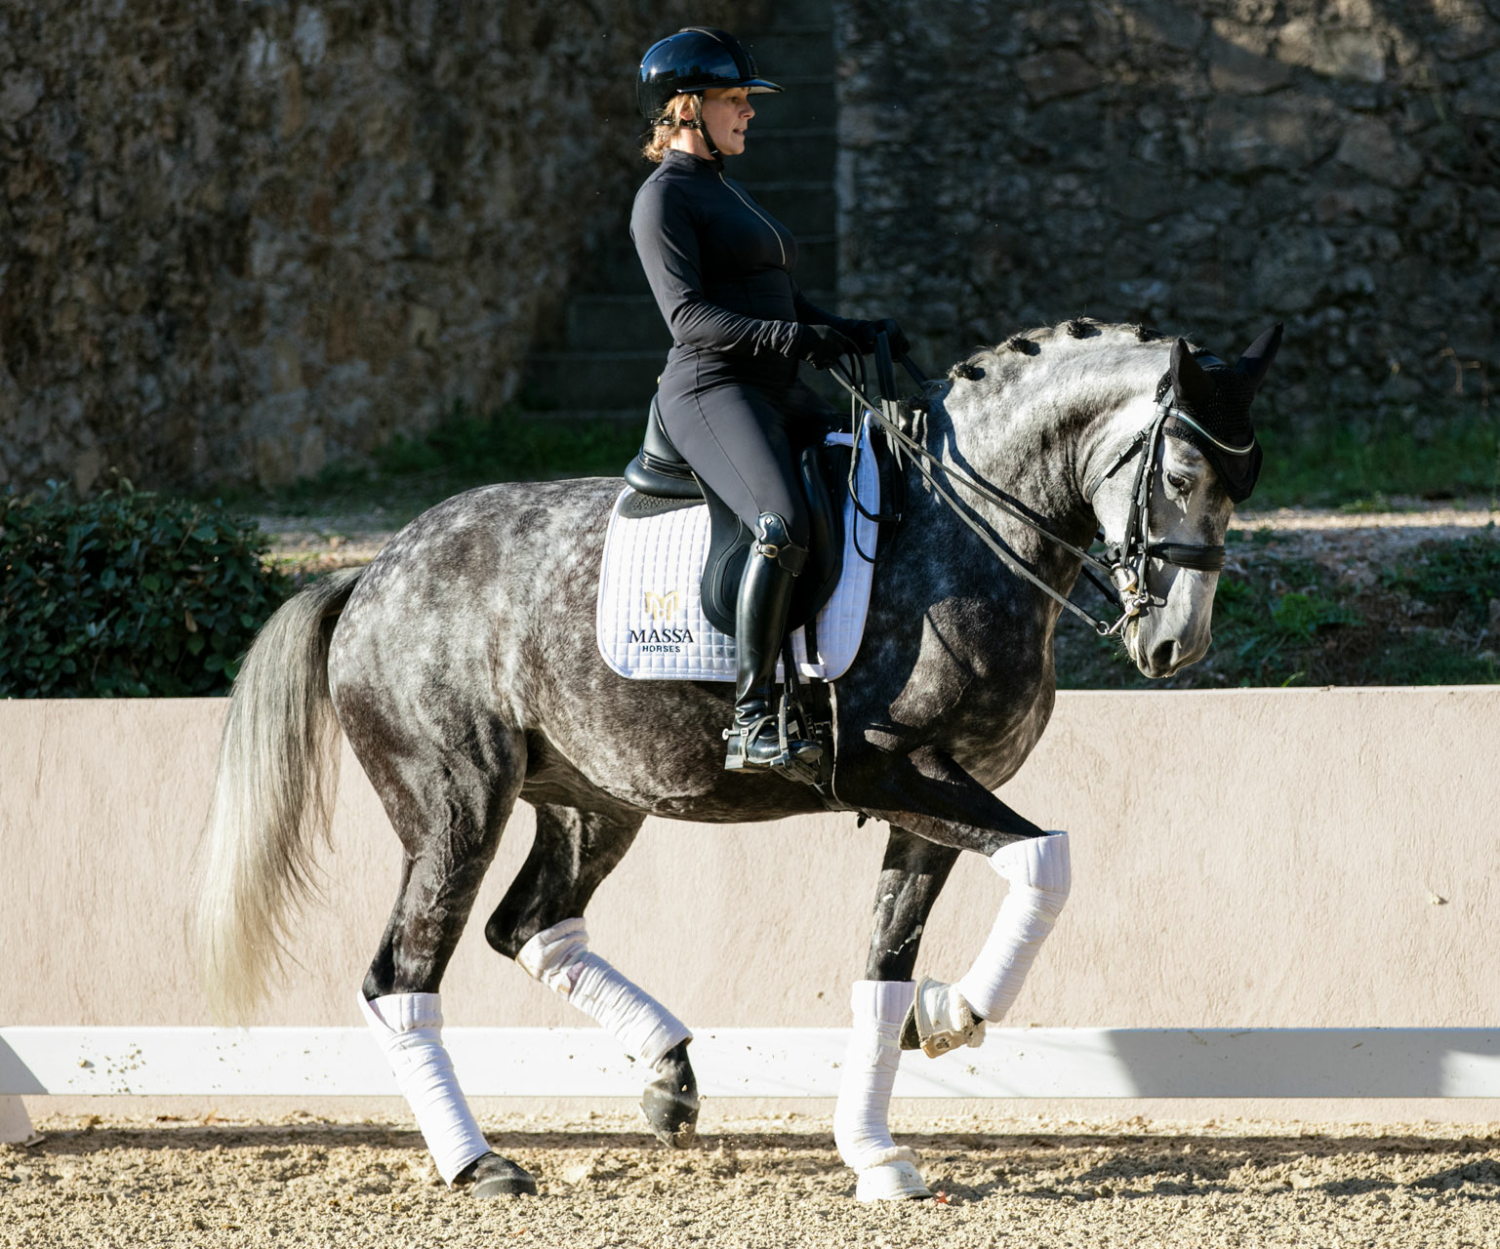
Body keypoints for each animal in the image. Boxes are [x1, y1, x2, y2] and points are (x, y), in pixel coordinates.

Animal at [193, 319, 1280, 1201]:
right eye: (1180, 478)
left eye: (1244, 489)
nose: (1175, 647)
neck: (965, 530)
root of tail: (372, 571)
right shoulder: (888, 772)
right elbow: (1048, 858)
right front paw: (958, 1012)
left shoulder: (932, 801)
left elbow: (884, 971)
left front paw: (880, 1141)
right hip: (454, 801)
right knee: (401, 974)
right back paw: (480, 1162)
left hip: (596, 801)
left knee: (528, 925)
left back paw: (667, 1077)